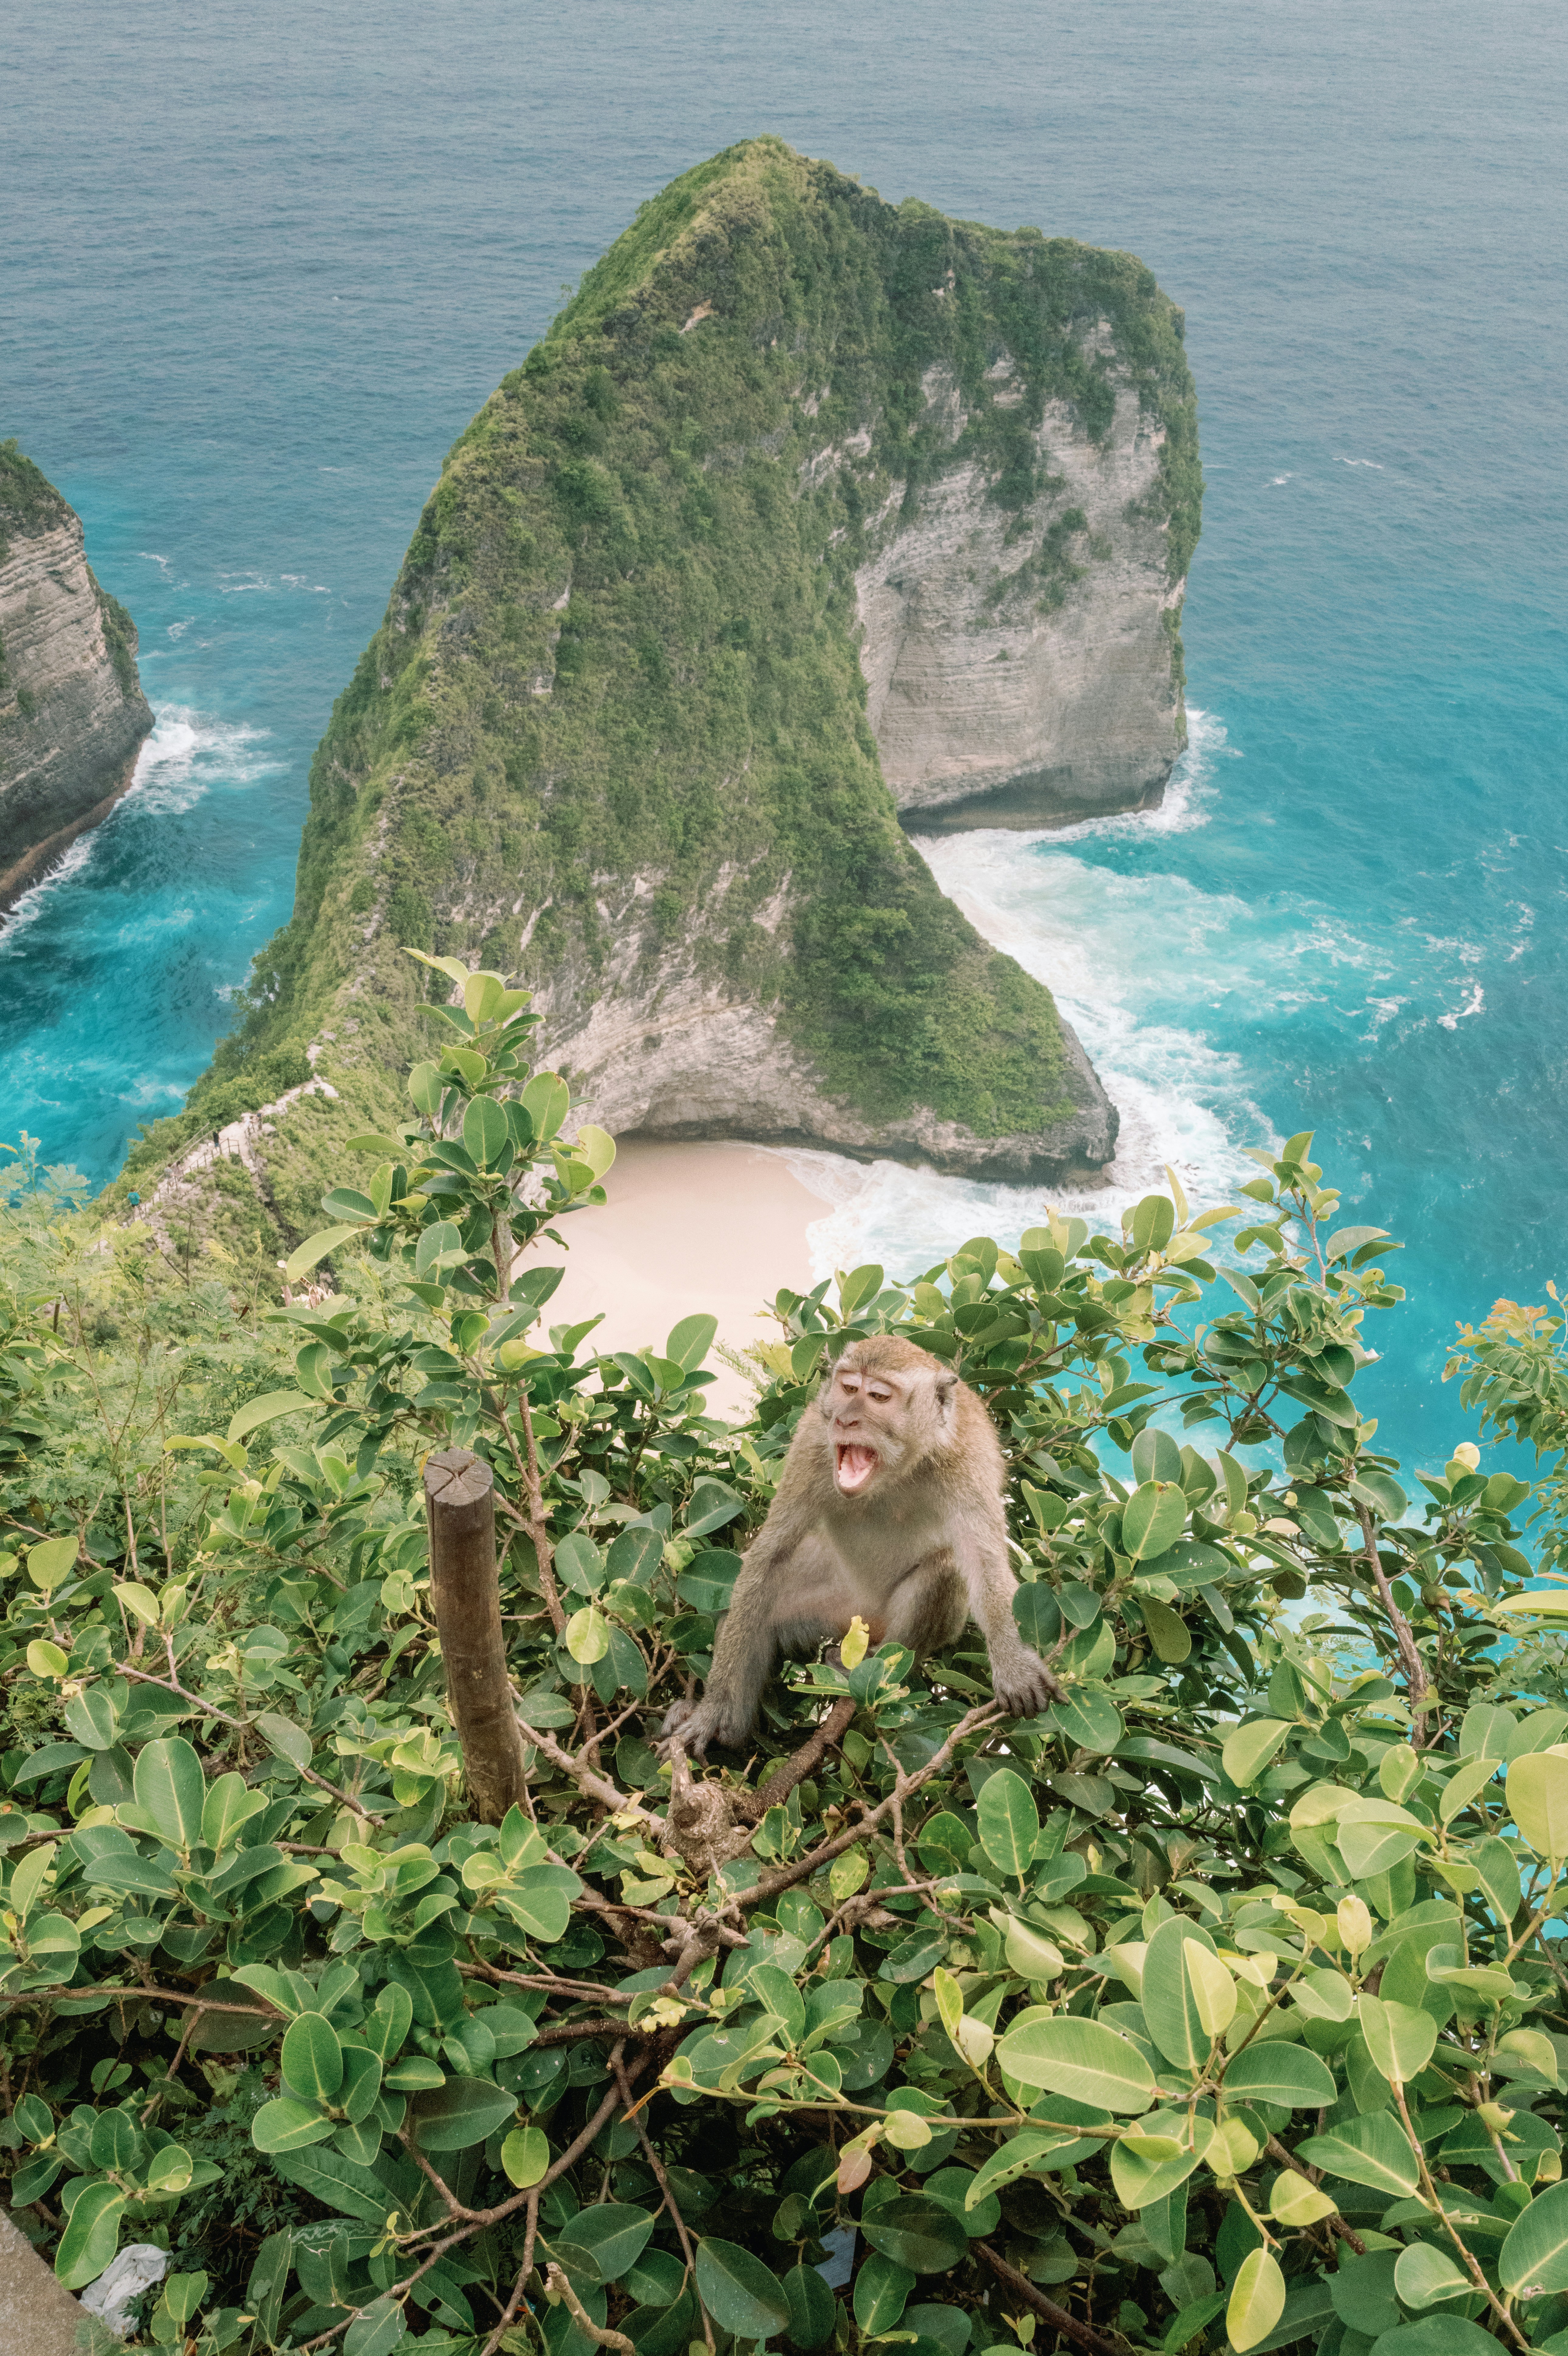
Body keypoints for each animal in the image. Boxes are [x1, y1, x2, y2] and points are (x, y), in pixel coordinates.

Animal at [660, 1333, 1065, 1755]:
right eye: (849, 1389)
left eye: (878, 1397)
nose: (845, 1419)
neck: (896, 1469)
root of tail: (861, 1620)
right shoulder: (812, 1442)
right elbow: (770, 1555)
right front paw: (714, 1712)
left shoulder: (968, 1458)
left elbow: (983, 1560)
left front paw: (1013, 1664)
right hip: (825, 1599)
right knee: (757, 1607)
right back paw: (734, 1729)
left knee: (945, 1569)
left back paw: (877, 1668)